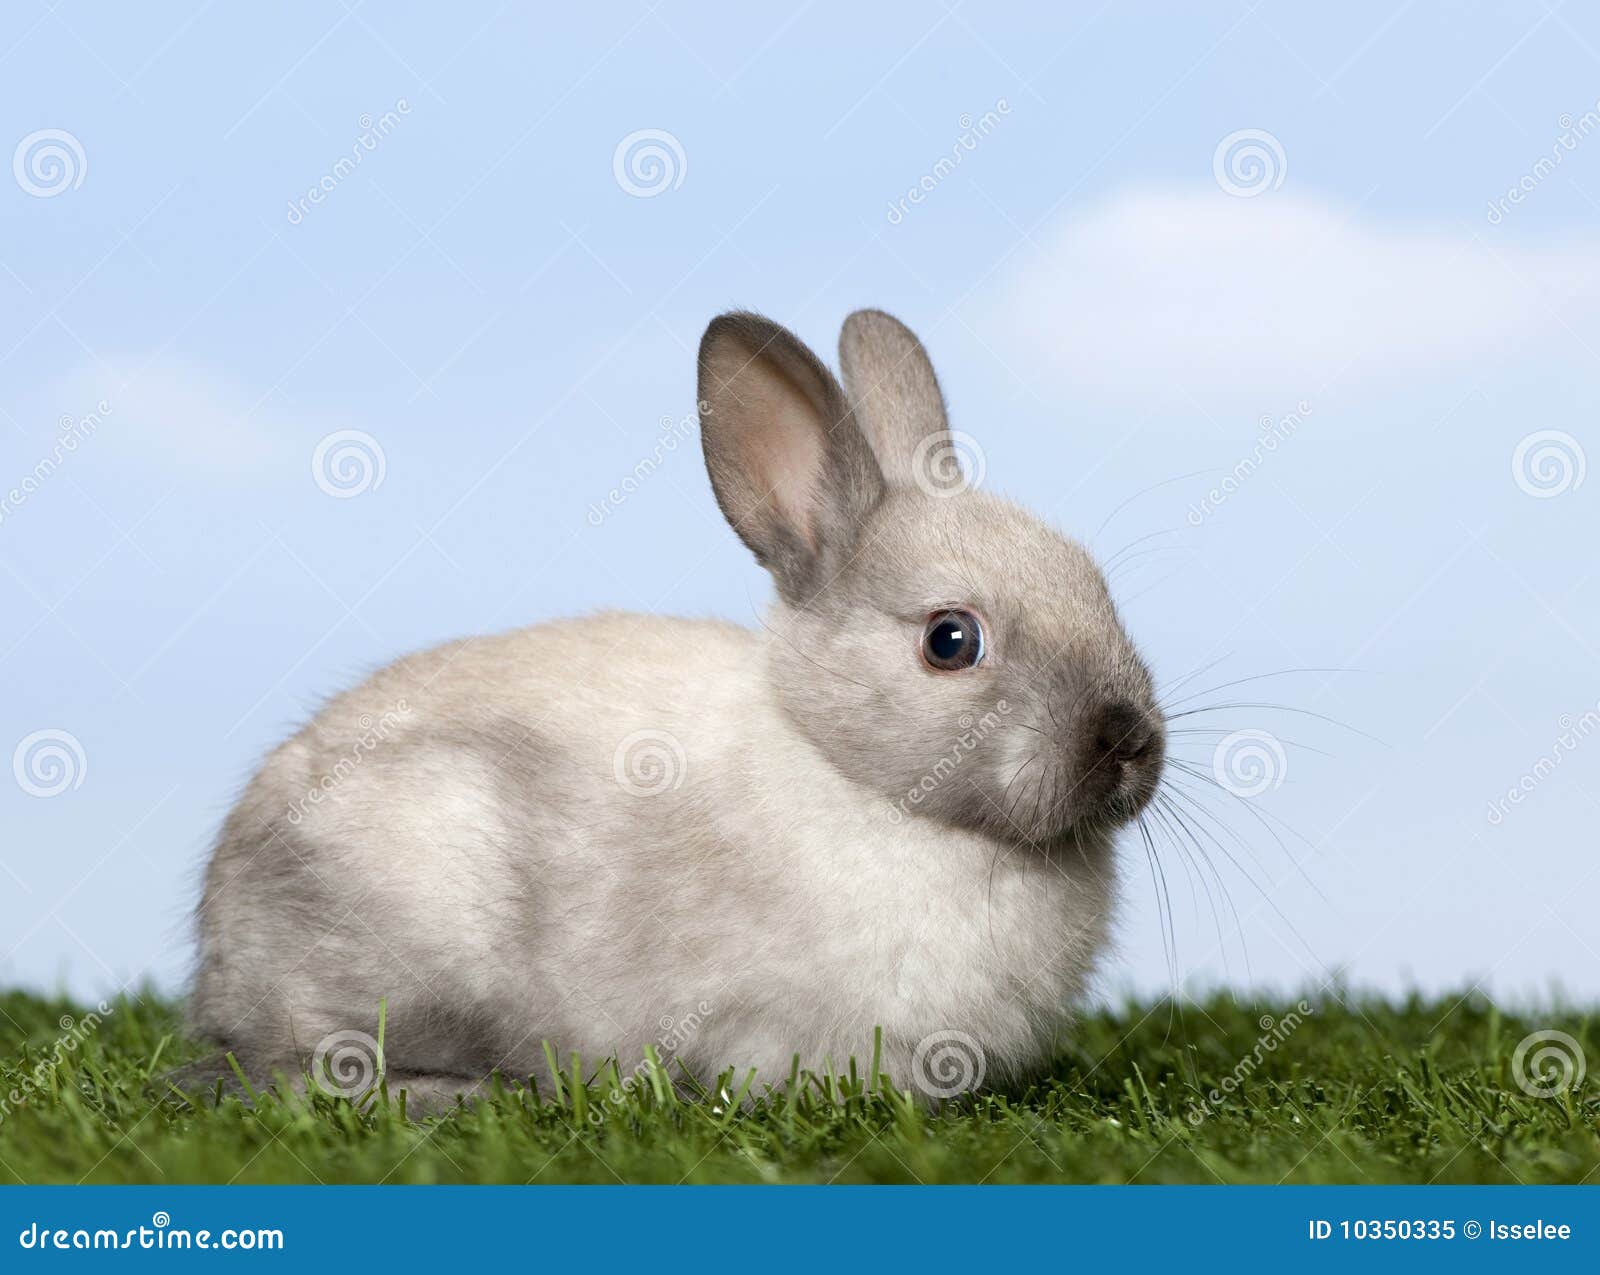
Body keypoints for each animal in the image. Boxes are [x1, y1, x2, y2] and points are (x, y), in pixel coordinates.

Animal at [188, 308, 1166, 1112]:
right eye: (950, 640)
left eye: (1098, 586)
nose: (1127, 739)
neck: (850, 774)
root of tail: (217, 957)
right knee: (296, 1071)